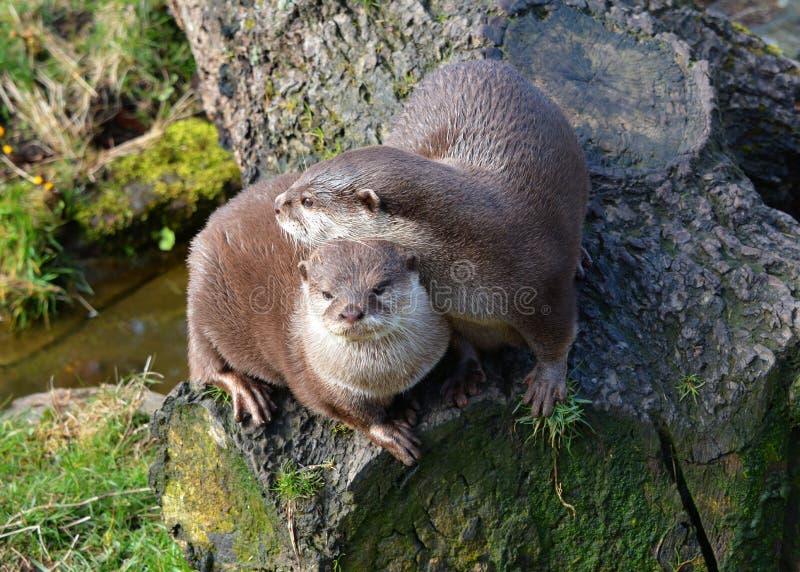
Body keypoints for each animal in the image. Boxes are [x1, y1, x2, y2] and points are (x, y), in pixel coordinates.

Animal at [187, 173, 449, 464]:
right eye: (327, 293)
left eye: (379, 288)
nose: (351, 312)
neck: (384, 377)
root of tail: (210, 222)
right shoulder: (319, 383)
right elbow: (357, 416)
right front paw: (391, 434)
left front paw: (404, 406)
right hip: (200, 297)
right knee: (204, 367)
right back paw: (248, 391)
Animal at [273, 60, 589, 417]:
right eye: (300, 177)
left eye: (308, 200)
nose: (277, 205)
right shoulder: (443, 308)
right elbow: (458, 340)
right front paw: (465, 373)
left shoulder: (546, 284)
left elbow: (557, 337)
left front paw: (549, 381)